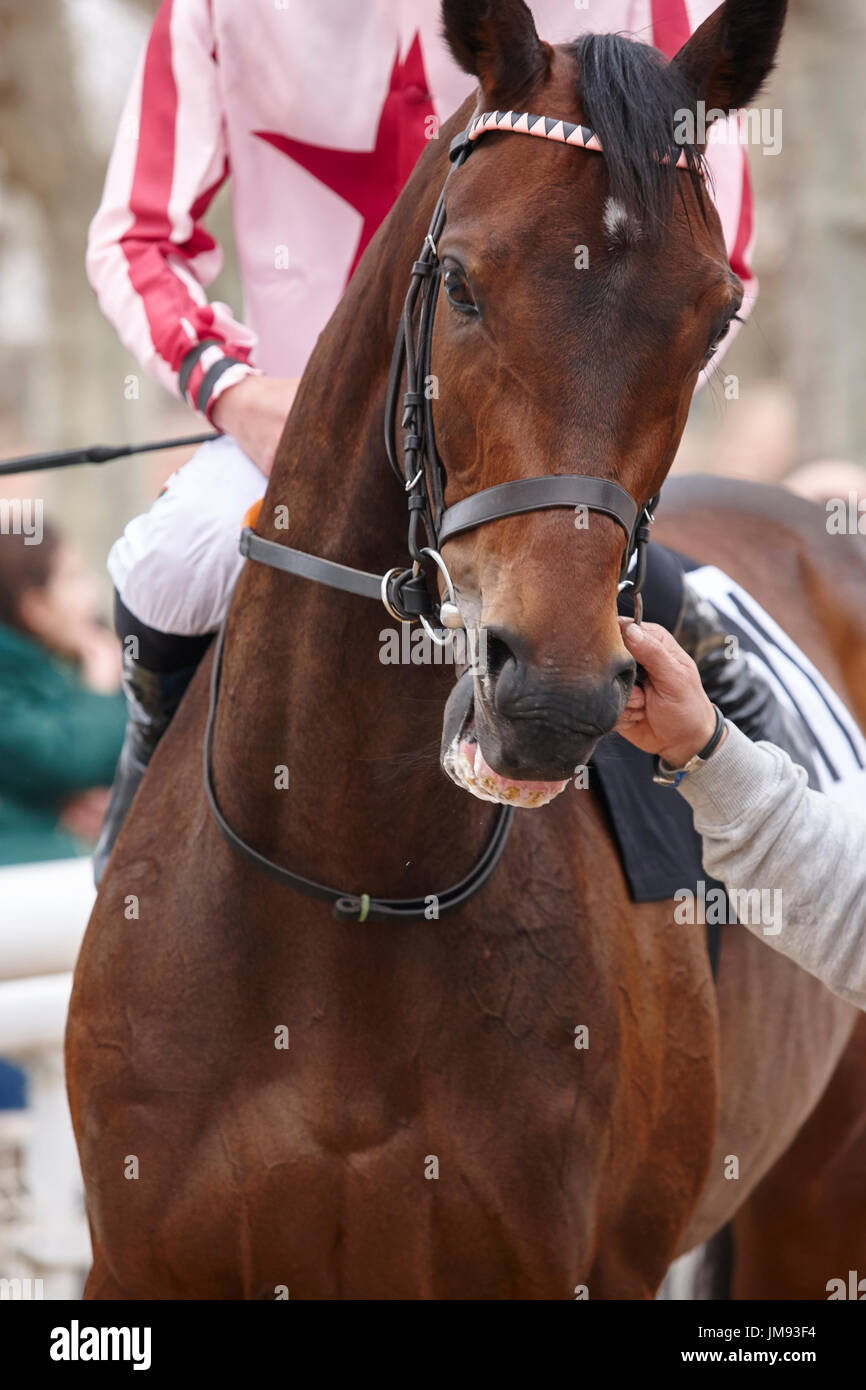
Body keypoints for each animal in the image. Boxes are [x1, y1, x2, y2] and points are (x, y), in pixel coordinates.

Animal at [67, 0, 866, 1299]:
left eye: (713, 317)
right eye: (460, 282)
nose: (548, 691)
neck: (348, 887)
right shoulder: (144, 1266)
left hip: (818, 1194)